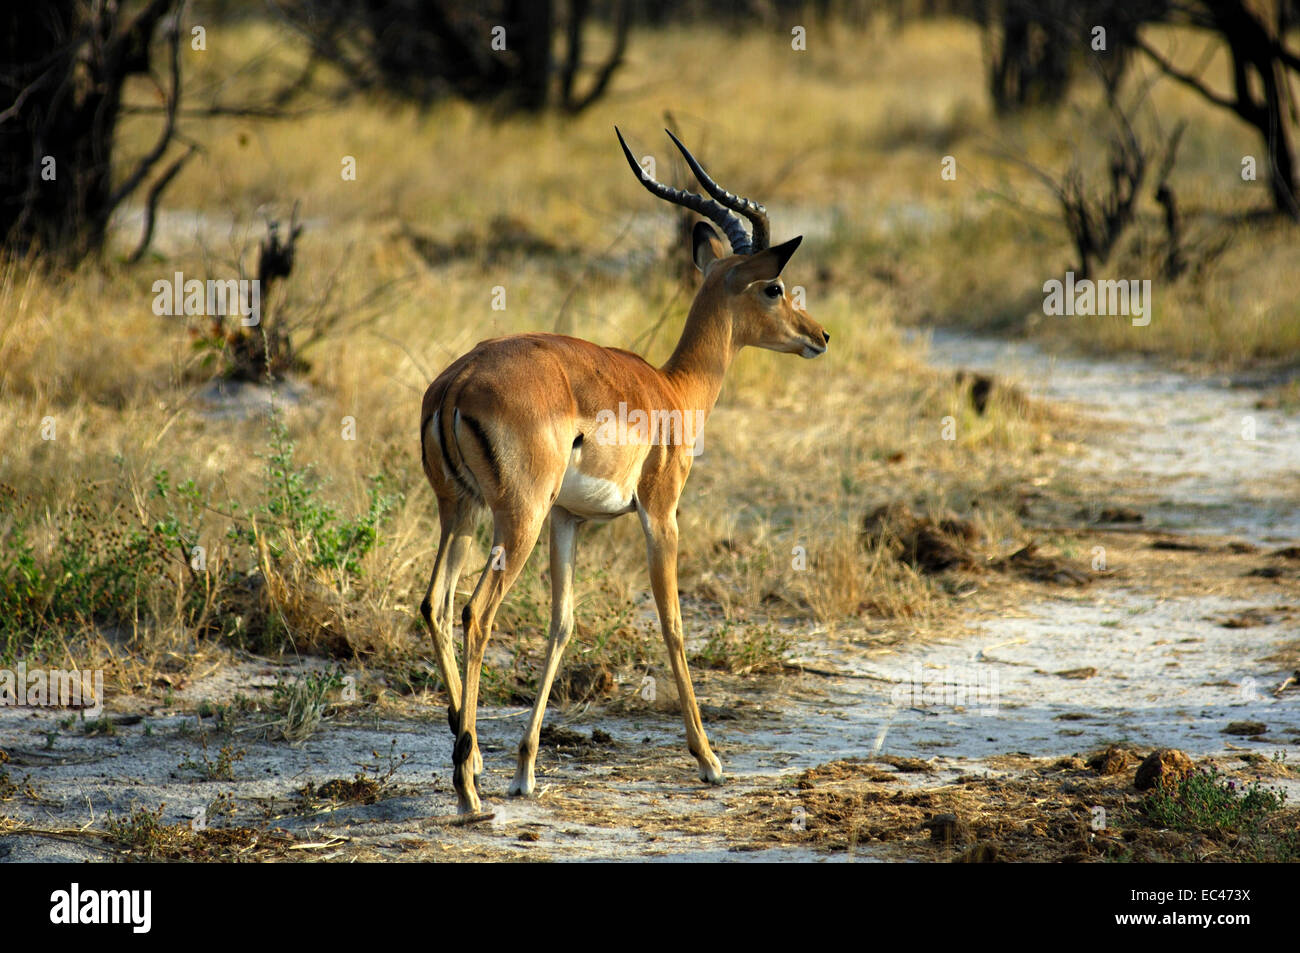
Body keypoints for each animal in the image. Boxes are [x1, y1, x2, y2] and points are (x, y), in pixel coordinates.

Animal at [419, 128, 829, 814]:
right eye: (774, 287)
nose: (819, 336)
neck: (673, 389)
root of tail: (456, 382)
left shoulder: (569, 521)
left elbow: (562, 624)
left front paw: (526, 769)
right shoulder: (660, 514)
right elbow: (673, 623)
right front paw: (709, 760)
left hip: (464, 513)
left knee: (435, 603)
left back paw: (468, 754)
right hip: (516, 520)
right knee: (476, 612)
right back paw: (468, 793)